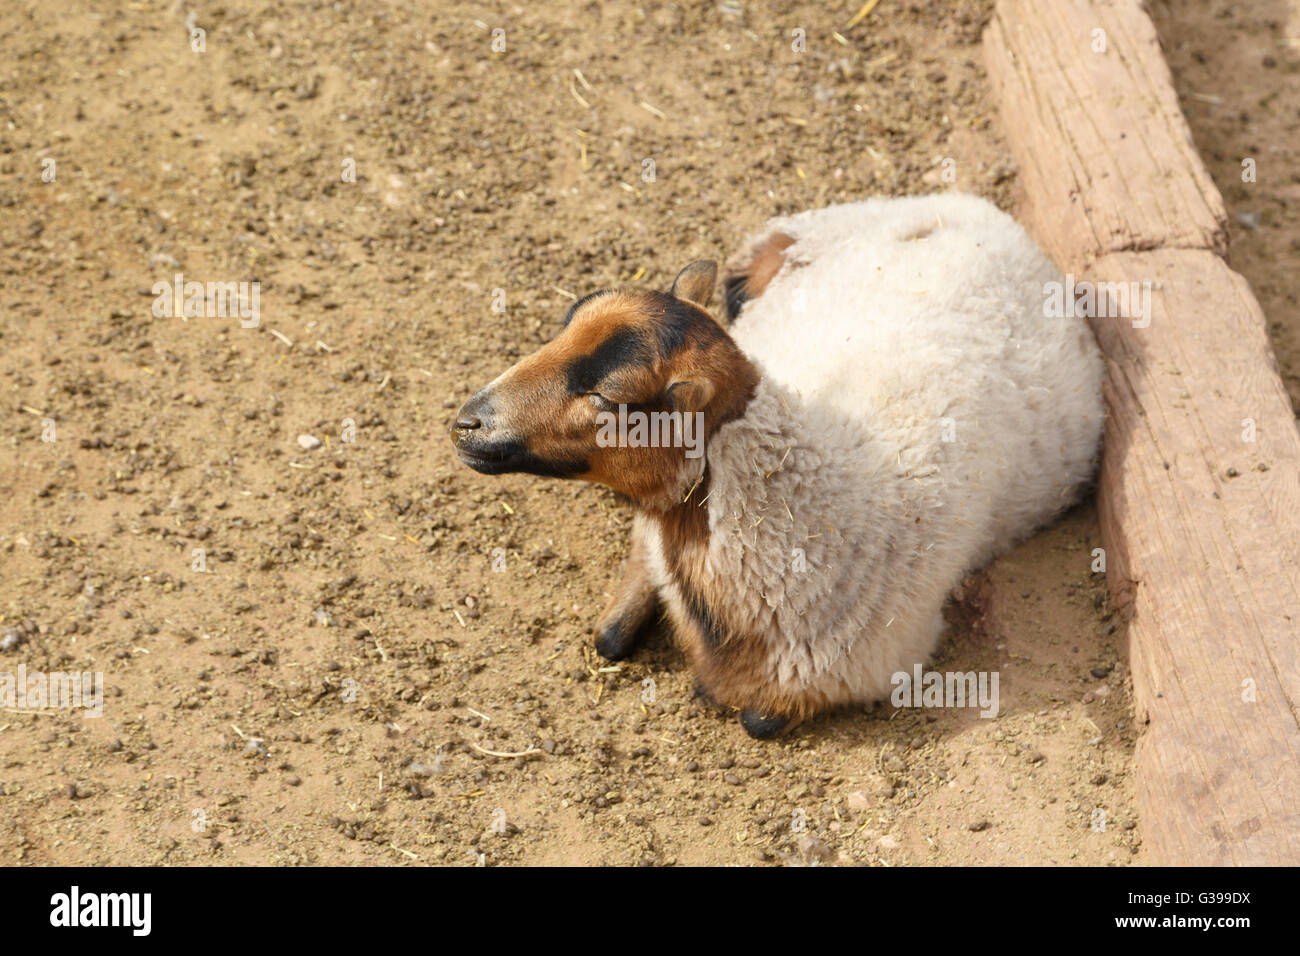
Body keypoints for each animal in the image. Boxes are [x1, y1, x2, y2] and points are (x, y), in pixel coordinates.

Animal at [452, 192, 1105, 738]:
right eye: (566, 322)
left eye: (609, 399)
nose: (468, 424)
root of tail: (990, 216)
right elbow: (609, 635)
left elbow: (756, 719)